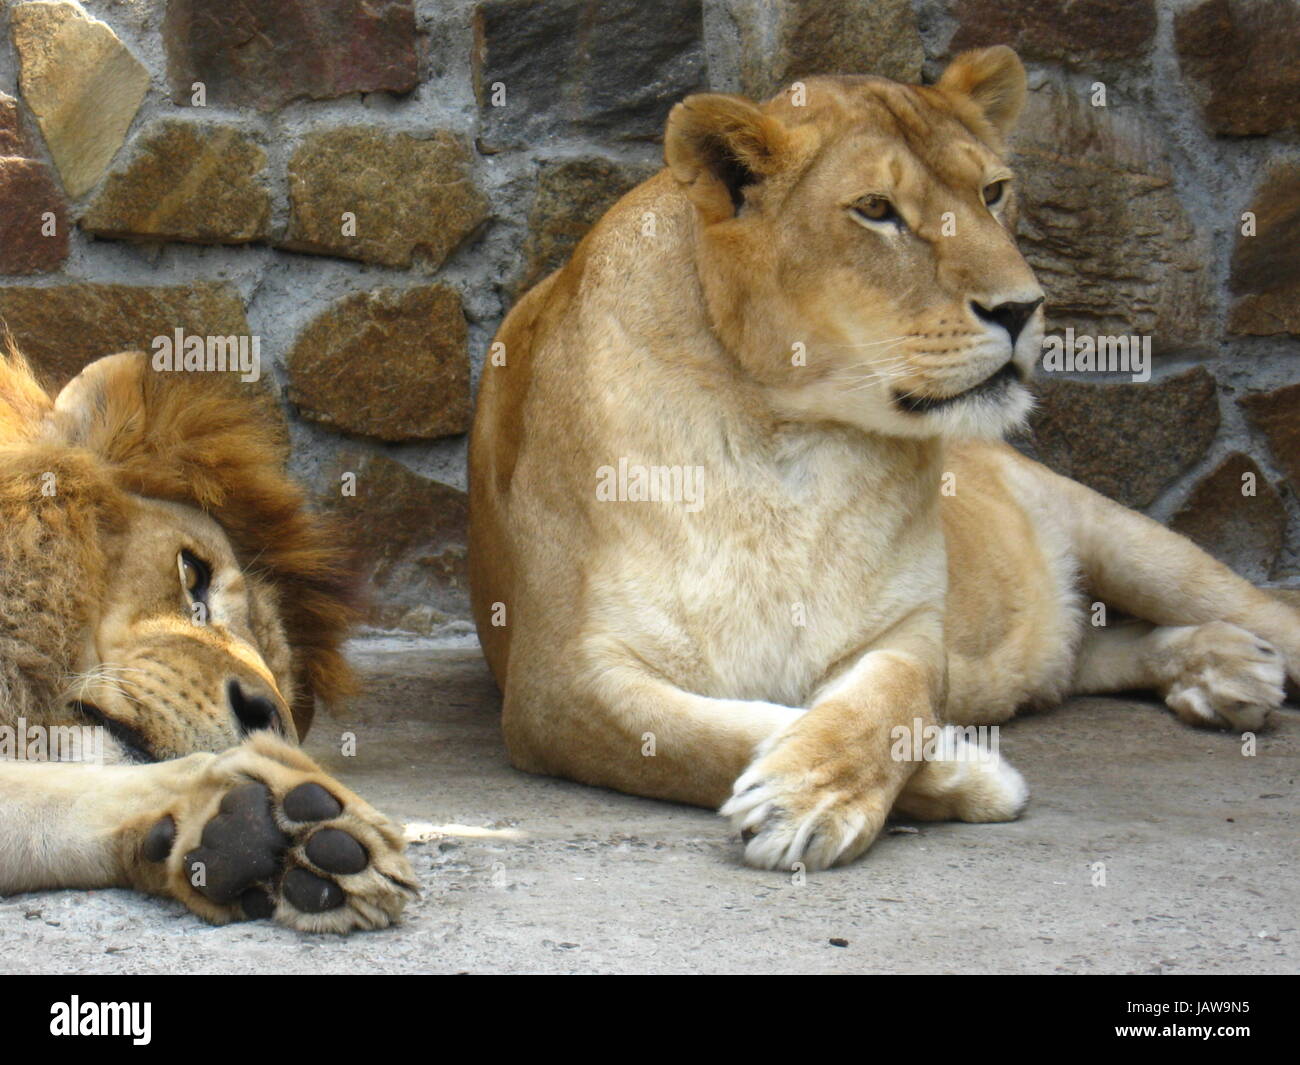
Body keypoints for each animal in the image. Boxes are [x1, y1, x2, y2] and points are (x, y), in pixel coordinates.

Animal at [468, 46, 1300, 872]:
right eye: (876, 210)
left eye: (993, 192)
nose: (1021, 309)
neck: (783, 431)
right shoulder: (556, 685)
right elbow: (699, 736)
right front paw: (968, 771)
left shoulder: (907, 625)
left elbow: (889, 704)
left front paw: (813, 792)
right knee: (1085, 650)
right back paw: (1225, 671)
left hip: (1132, 543)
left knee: (1254, 615)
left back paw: (1239, 659)